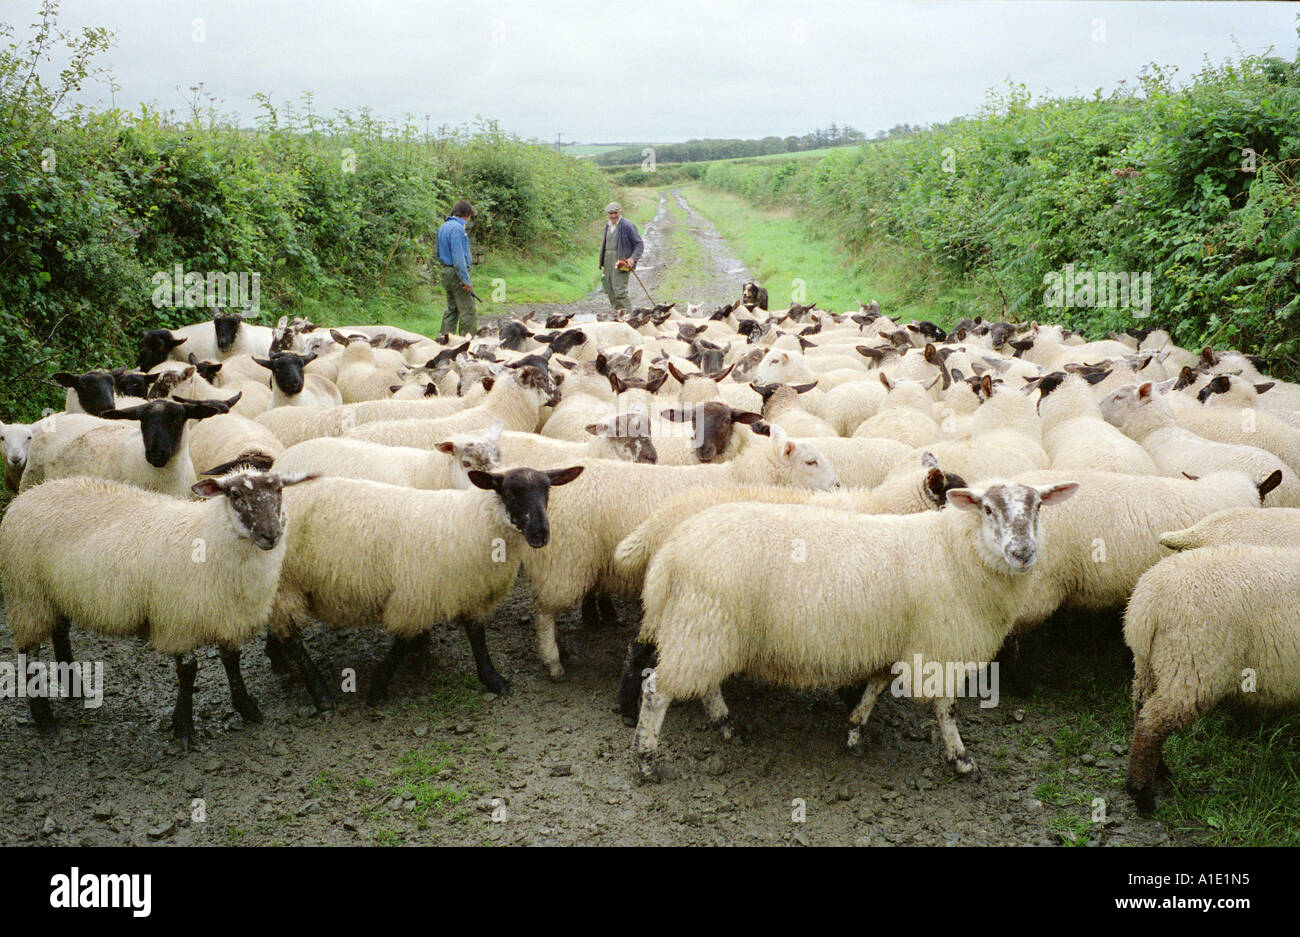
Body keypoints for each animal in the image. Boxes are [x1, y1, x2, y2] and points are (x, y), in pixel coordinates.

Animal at [0, 470, 315, 747]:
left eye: (279, 491)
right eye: (235, 494)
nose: (271, 535)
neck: (209, 535)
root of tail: (29, 494)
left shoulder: (227, 613)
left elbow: (231, 660)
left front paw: (247, 707)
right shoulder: (177, 618)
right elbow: (188, 670)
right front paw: (183, 728)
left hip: (55, 593)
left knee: (60, 632)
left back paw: (73, 688)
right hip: (27, 594)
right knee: (29, 652)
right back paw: (44, 718)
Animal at [267, 466, 583, 709]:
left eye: (547, 492)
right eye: (510, 493)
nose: (541, 534)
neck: (472, 523)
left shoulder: (468, 588)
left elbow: (477, 636)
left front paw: (492, 678)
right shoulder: (414, 594)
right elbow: (401, 643)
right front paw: (378, 688)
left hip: (281, 585)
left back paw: (280, 662)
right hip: (287, 583)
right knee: (292, 637)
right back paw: (319, 692)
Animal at [630, 478, 1079, 780]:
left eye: (1039, 507)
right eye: (987, 509)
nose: (1022, 553)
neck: (954, 552)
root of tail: (671, 548)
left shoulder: (894, 640)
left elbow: (876, 686)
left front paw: (854, 730)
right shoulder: (937, 645)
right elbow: (945, 707)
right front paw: (961, 758)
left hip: (708, 628)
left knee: (704, 683)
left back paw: (727, 726)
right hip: (702, 622)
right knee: (656, 690)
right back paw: (646, 760)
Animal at [1123, 544, 1300, 813]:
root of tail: (1147, 604)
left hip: (1149, 666)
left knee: (1140, 710)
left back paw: (1159, 771)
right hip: (1192, 665)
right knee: (1153, 722)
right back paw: (1142, 795)